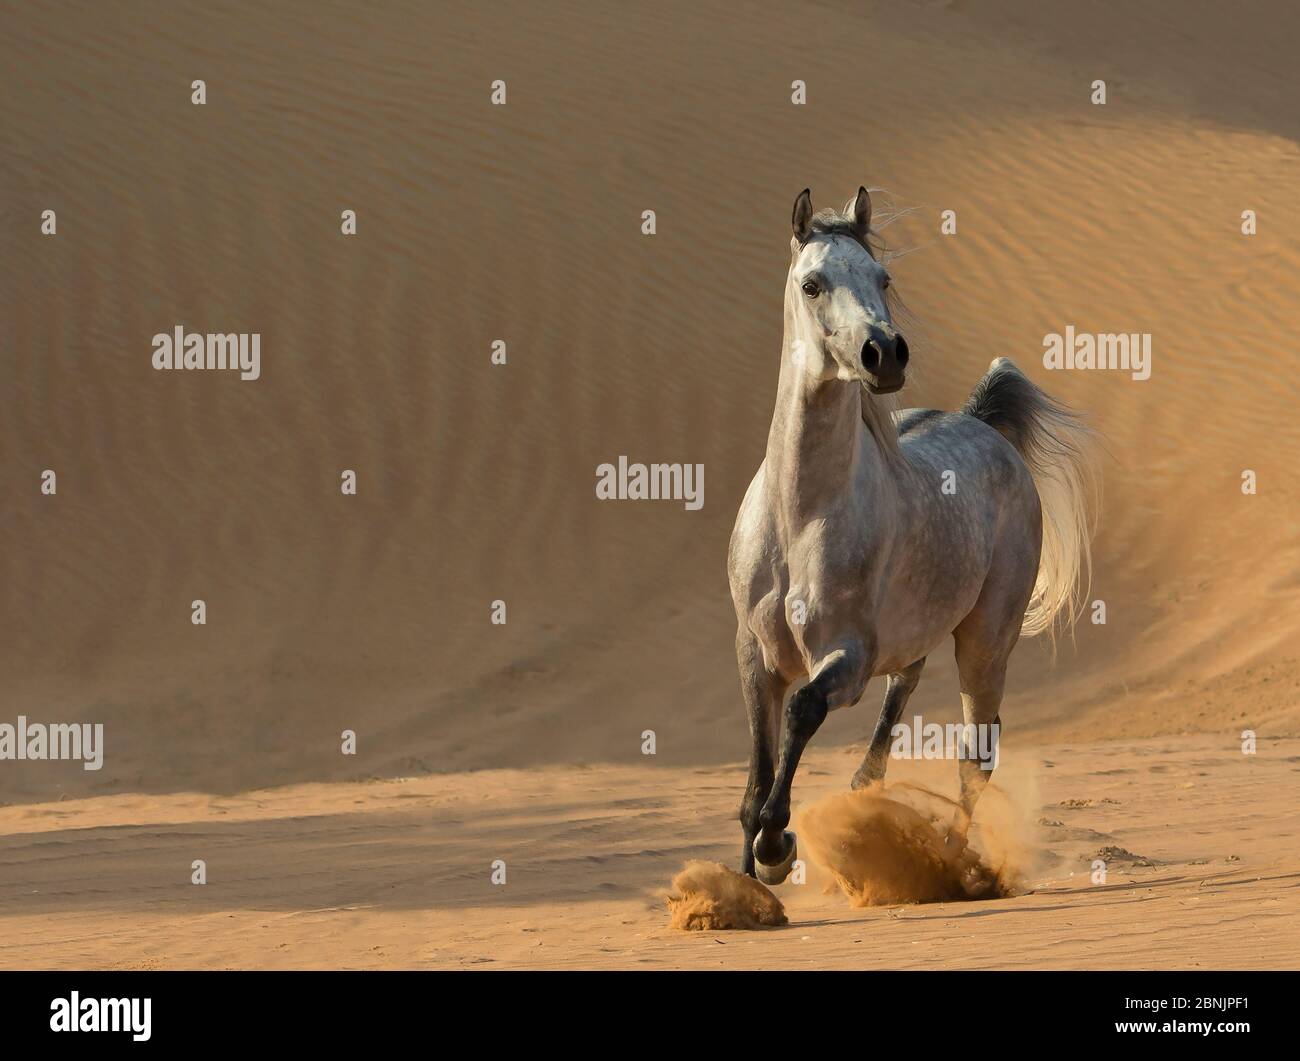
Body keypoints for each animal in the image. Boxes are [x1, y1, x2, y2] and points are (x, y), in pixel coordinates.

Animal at [727, 187, 1098, 884]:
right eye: (812, 285)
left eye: (883, 278)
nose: (886, 354)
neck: (801, 519)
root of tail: (984, 426)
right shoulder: (754, 656)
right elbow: (756, 781)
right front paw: (744, 881)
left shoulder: (847, 659)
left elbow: (802, 712)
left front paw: (777, 848)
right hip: (913, 647)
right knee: (884, 743)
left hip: (985, 643)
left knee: (977, 755)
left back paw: (952, 865)